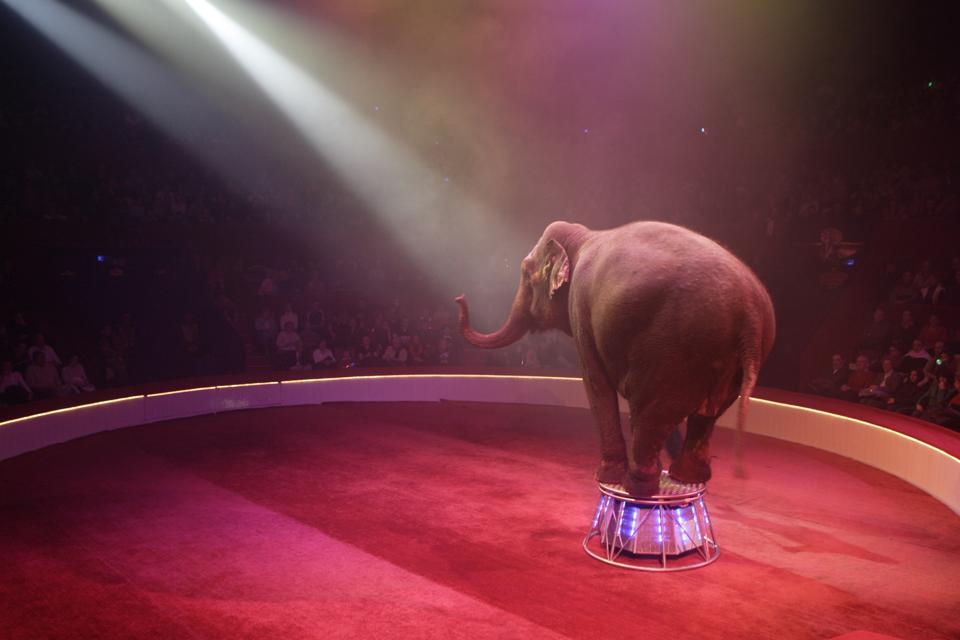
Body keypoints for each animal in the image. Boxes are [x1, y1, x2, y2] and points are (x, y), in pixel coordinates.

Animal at [455, 220, 775, 497]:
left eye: (524, 272)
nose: (459, 298)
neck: (583, 236)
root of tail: (750, 315)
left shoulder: (580, 307)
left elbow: (596, 383)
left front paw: (604, 476)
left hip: (678, 349)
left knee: (652, 410)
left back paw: (636, 485)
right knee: (704, 416)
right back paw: (684, 477)